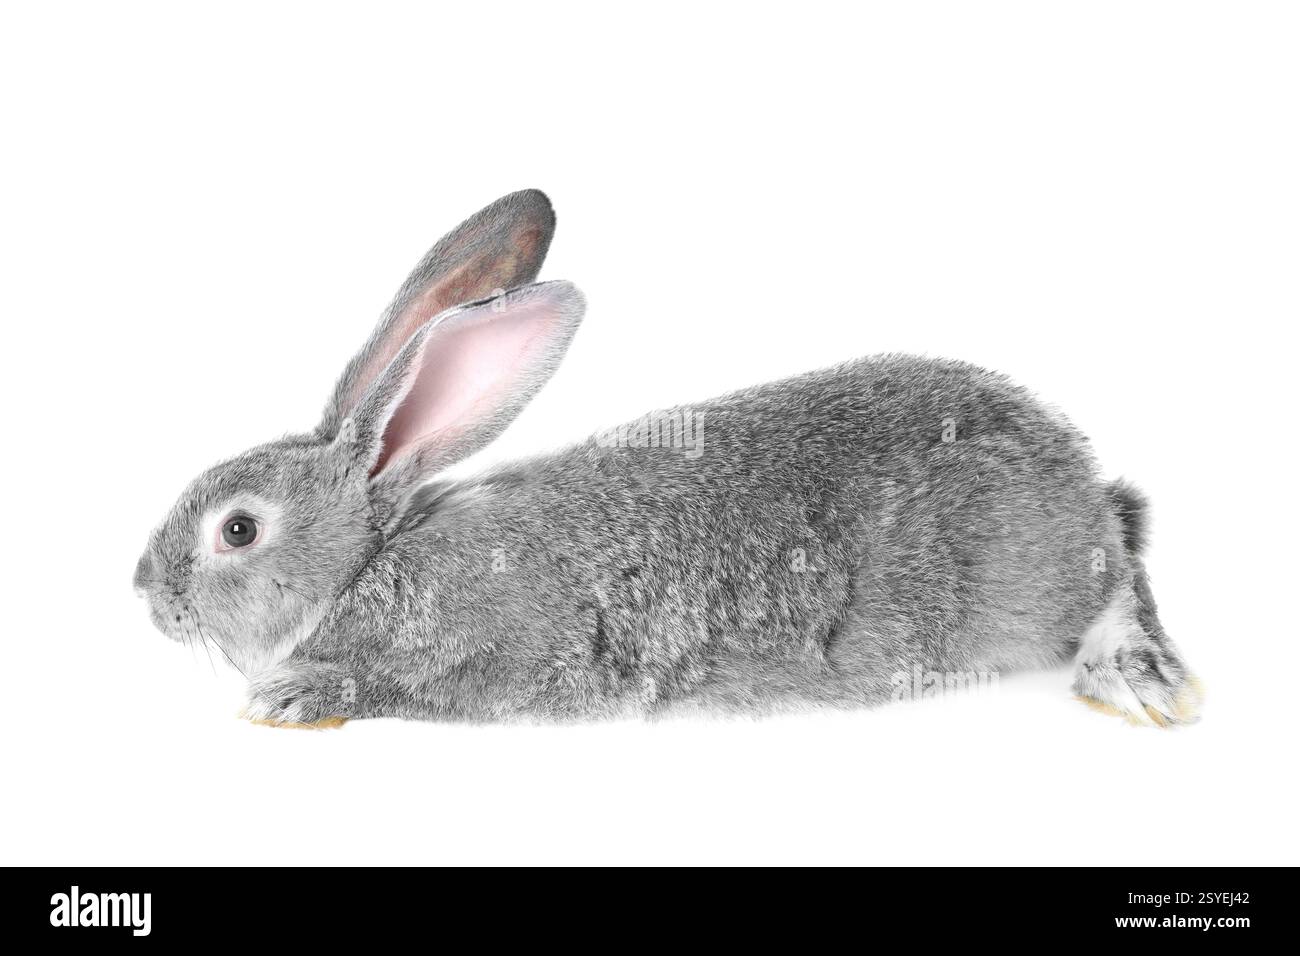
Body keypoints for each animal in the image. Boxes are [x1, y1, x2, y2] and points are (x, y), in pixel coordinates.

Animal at [134, 189, 1201, 728]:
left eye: (237, 530)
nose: (146, 591)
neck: (372, 560)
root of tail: (1079, 478)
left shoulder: (512, 661)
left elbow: (417, 689)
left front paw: (296, 695)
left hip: (1029, 579)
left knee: (1119, 580)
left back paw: (1135, 676)